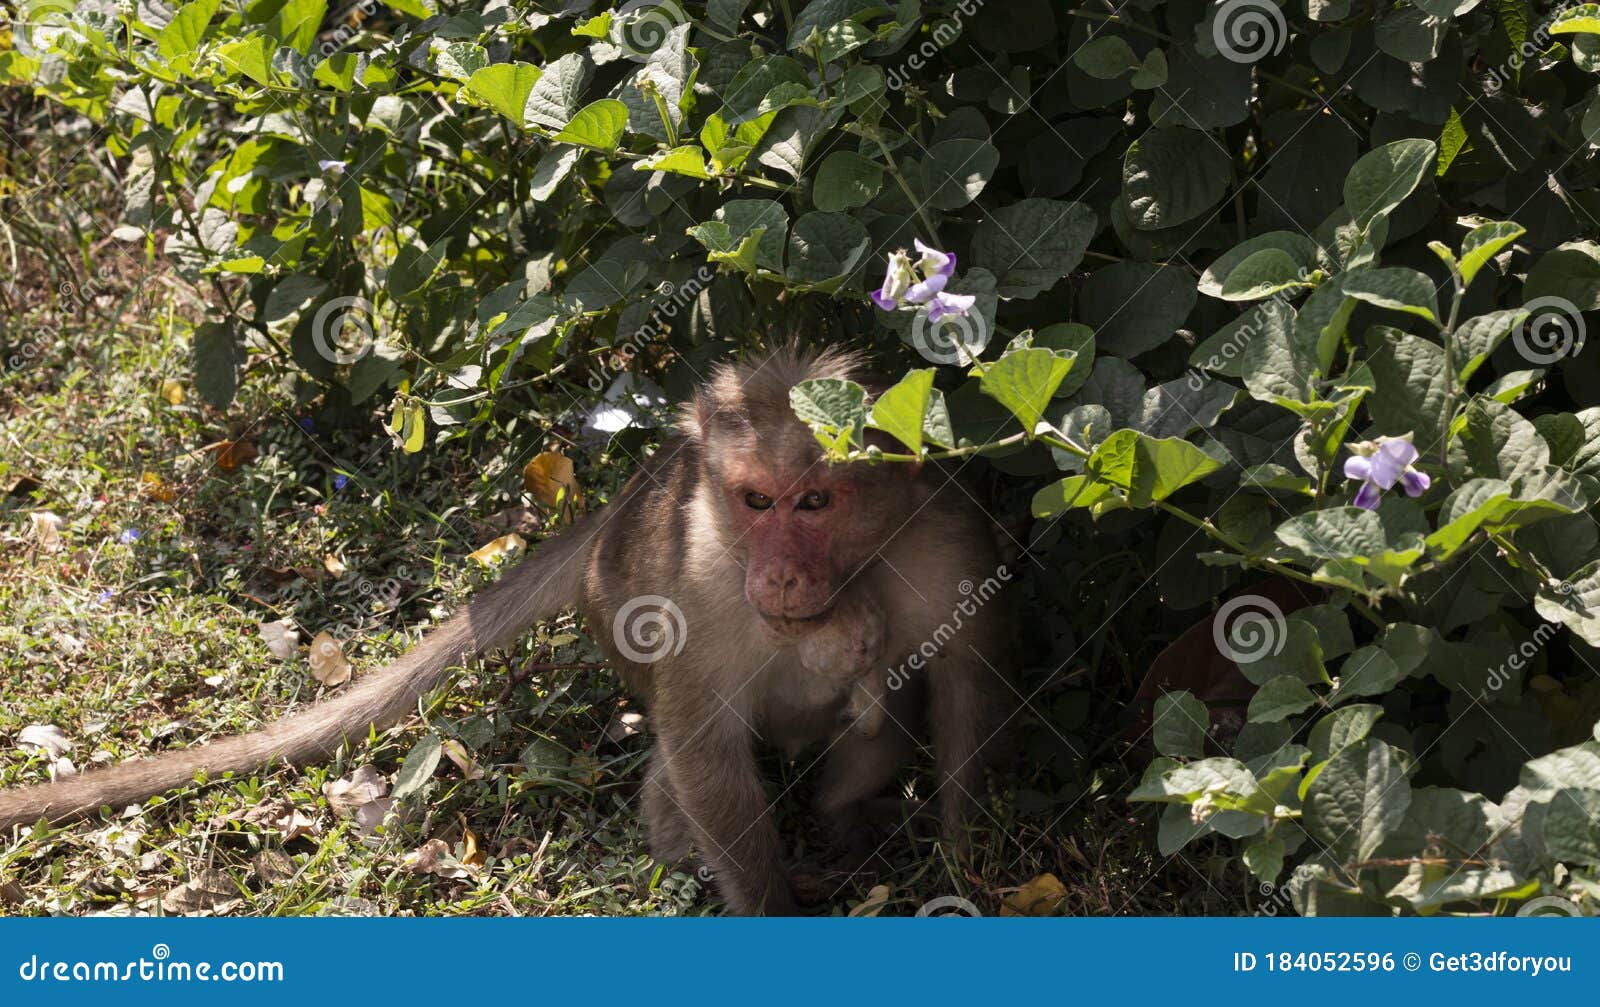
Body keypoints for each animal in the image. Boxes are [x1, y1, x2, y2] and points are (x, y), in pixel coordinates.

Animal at [0, 347, 1005, 915]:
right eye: (756, 501)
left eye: (815, 502)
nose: (783, 574)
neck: (855, 570)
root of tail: (610, 519)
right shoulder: (705, 580)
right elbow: (703, 743)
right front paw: (772, 911)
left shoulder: (946, 540)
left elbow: (964, 686)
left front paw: (967, 853)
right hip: (619, 611)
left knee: (881, 713)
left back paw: (847, 816)